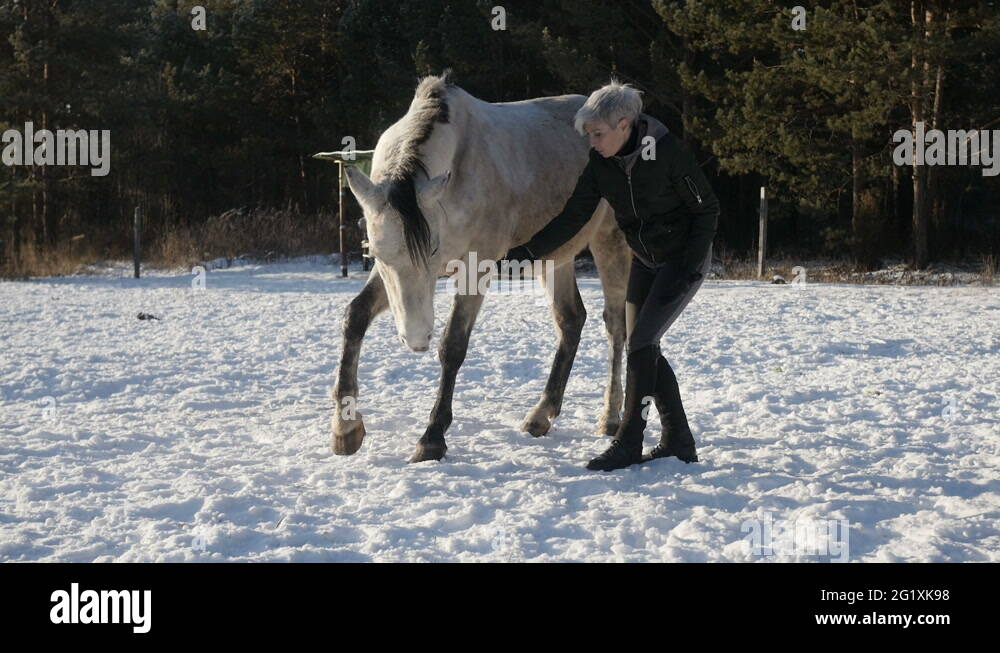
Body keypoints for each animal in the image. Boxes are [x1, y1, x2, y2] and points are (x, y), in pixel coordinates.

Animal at [333, 70, 630, 463]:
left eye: (433, 251)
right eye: (376, 255)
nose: (416, 339)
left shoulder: (476, 269)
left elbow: (453, 345)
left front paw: (432, 438)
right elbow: (355, 317)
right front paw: (345, 429)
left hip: (610, 241)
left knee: (615, 326)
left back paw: (610, 417)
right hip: (558, 257)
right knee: (571, 320)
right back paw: (541, 415)